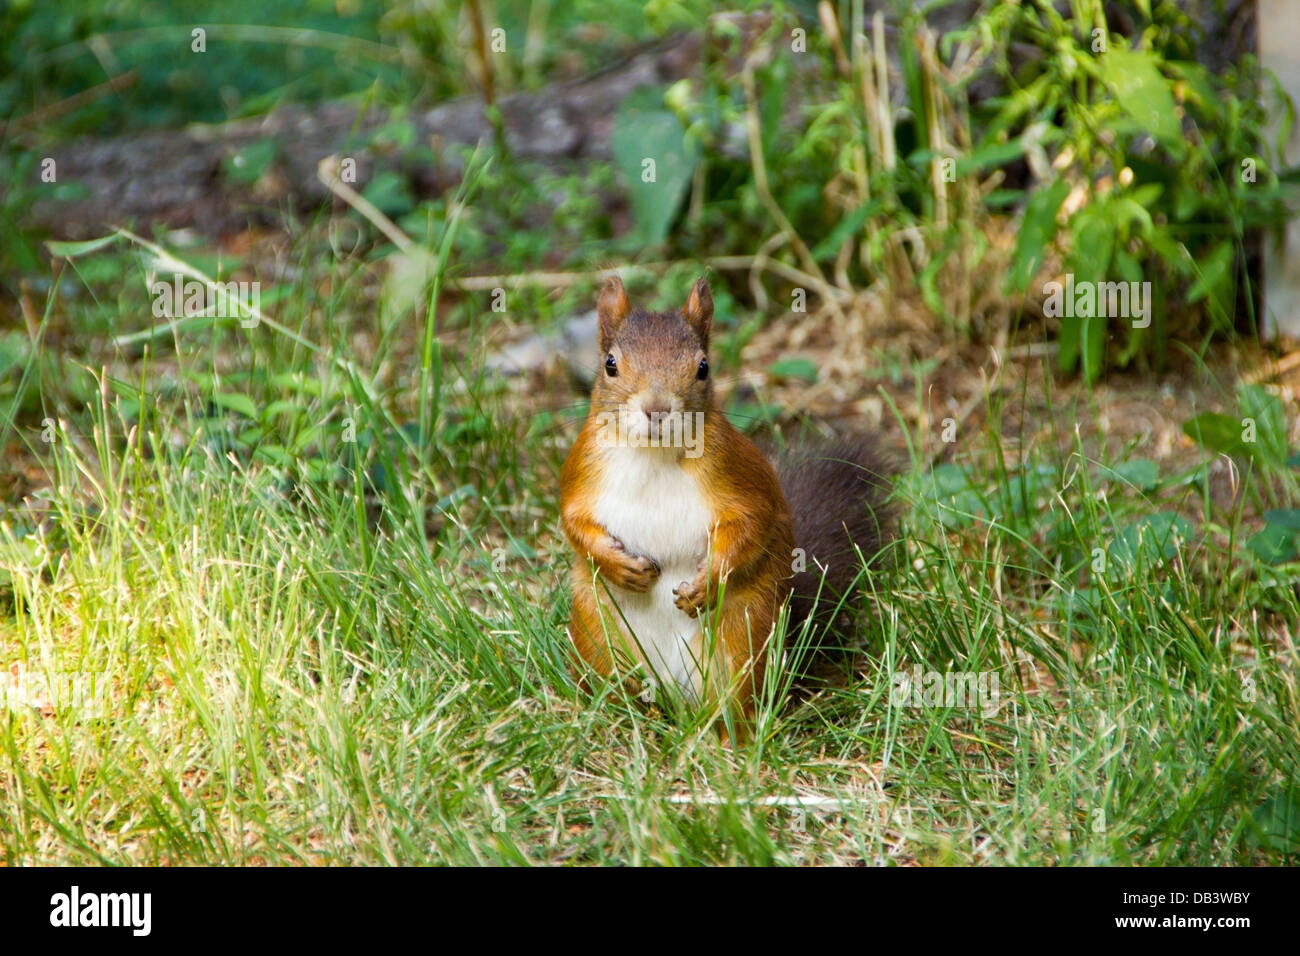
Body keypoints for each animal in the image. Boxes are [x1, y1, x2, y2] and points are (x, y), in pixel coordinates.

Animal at [560, 275, 894, 735]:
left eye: (703, 367)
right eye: (610, 364)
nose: (656, 408)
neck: (653, 455)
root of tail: (671, 696)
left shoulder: (738, 477)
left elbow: (750, 526)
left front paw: (706, 586)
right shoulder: (583, 473)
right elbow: (574, 522)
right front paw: (620, 566)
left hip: (741, 640)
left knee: (732, 701)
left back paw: (719, 736)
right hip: (599, 636)